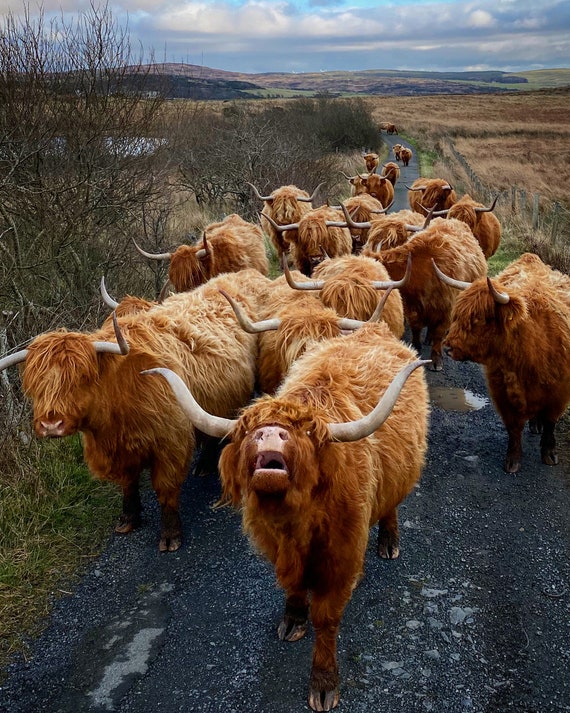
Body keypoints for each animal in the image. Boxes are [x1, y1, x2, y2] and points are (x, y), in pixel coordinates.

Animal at [0, 270, 270, 551]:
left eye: (82, 378)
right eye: (36, 384)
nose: (51, 425)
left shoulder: (169, 445)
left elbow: (166, 489)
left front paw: (170, 535)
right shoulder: (118, 451)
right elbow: (128, 484)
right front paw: (128, 518)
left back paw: (205, 465)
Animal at [144, 321, 430, 710]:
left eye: (305, 432)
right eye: (249, 431)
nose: (269, 434)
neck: (296, 525)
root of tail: (376, 327)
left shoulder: (340, 555)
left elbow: (326, 618)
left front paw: (323, 683)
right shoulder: (277, 547)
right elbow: (293, 588)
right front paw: (293, 620)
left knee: (392, 503)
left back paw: (389, 542)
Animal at [365, 217, 487, 370]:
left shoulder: (447, 309)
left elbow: (439, 334)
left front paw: (436, 360)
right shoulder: (411, 306)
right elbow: (416, 327)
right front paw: (416, 348)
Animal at [437, 252, 570, 473]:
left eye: (479, 319)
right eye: (457, 315)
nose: (447, 347)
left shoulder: (559, 392)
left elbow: (551, 422)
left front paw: (549, 454)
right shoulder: (501, 393)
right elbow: (513, 427)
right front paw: (513, 460)